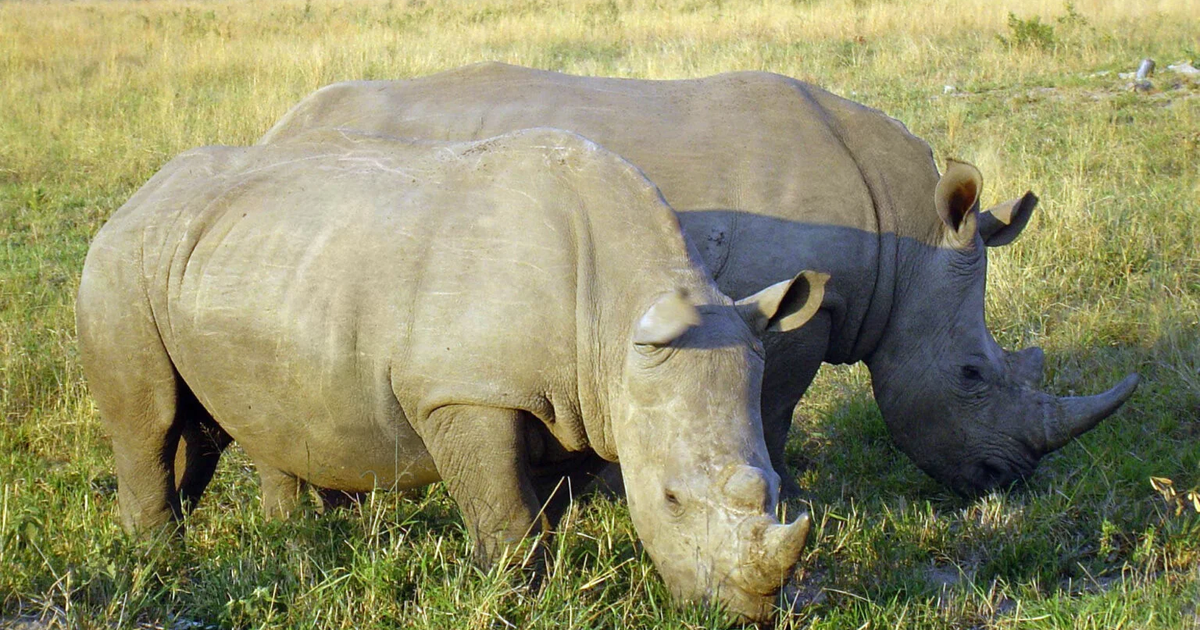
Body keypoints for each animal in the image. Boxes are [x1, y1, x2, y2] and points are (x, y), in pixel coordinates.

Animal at [76, 128, 828, 620]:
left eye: (775, 490)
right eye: (670, 500)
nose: (740, 615)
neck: (617, 317)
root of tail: (138, 195)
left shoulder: (584, 405)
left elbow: (547, 504)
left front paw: (540, 585)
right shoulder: (467, 393)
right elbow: (505, 509)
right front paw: (514, 596)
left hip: (230, 260)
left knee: (217, 422)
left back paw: (288, 540)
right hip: (120, 262)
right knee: (150, 422)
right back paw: (160, 562)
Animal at [259, 62, 1139, 496]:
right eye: (971, 375)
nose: (1006, 482)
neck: (909, 240)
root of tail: (278, 128)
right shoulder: (796, 307)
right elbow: (775, 412)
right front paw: (788, 492)